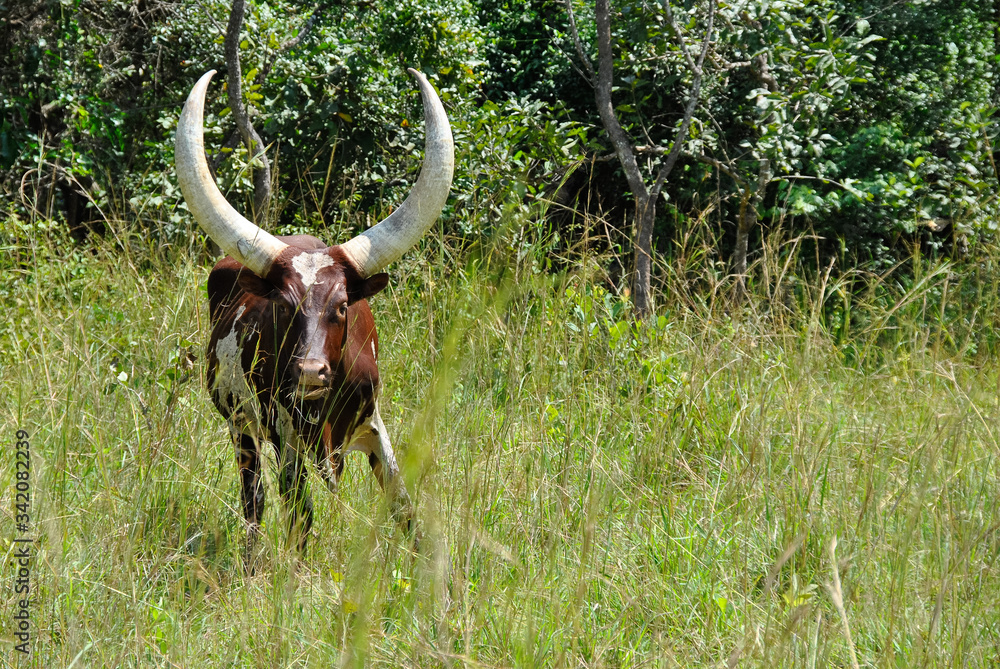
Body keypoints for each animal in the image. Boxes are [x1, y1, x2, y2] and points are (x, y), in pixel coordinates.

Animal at [174, 68, 453, 566]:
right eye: (284, 305)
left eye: (342, 306)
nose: (308, 371)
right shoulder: (285, 436)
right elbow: (300, 515)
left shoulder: (372, 423)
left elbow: (403, 504)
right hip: (241, 425)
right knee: (255, 497)